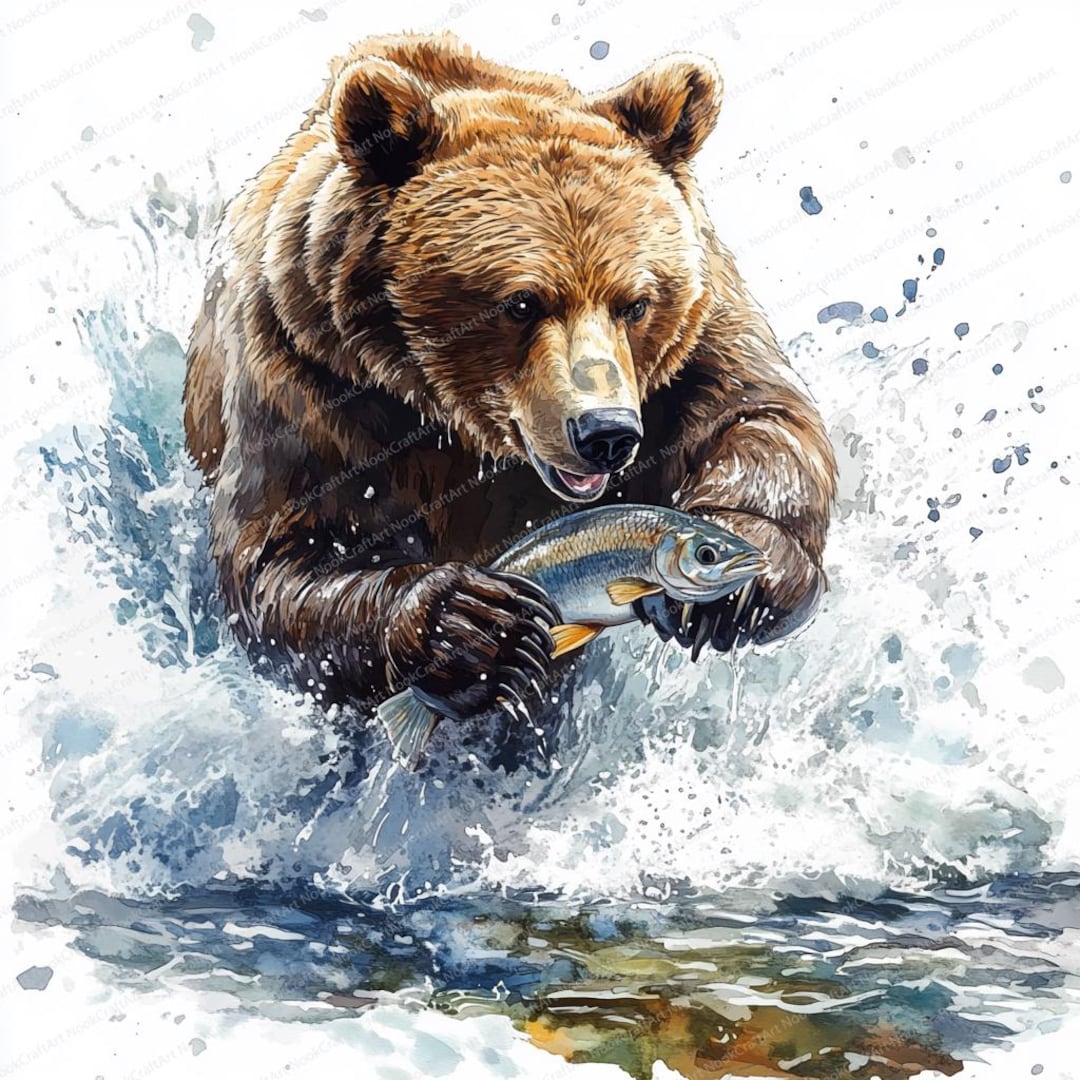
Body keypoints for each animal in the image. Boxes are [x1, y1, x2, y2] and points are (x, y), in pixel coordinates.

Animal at [183, 31, 837, 735]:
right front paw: (466, 625)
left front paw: (736, 583)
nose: (606, 434)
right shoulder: (308, 375)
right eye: (520, 303)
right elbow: (286, 554)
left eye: (635, 303)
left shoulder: (691, 340)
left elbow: (759, 414)